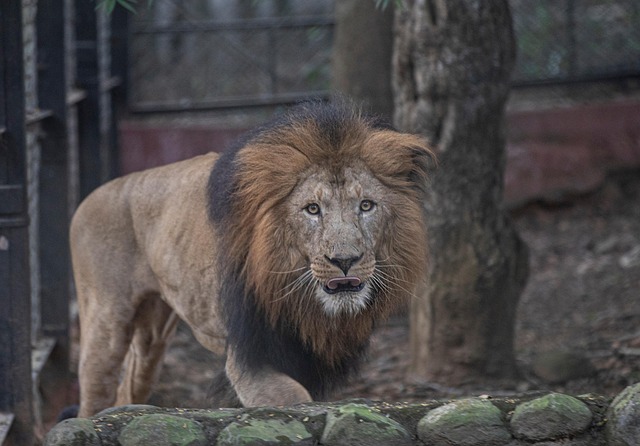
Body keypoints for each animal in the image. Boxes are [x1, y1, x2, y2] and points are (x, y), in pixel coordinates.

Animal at [71, 100, 433, 417]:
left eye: (366, 205)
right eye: (312, 209)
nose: (344, 260)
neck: (306, 303)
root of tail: (91, 196)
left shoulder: (309, 359)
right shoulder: (248, 359)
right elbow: (293, 401)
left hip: (152, 335)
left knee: (128, 388)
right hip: (106, 322)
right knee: (92, 398)